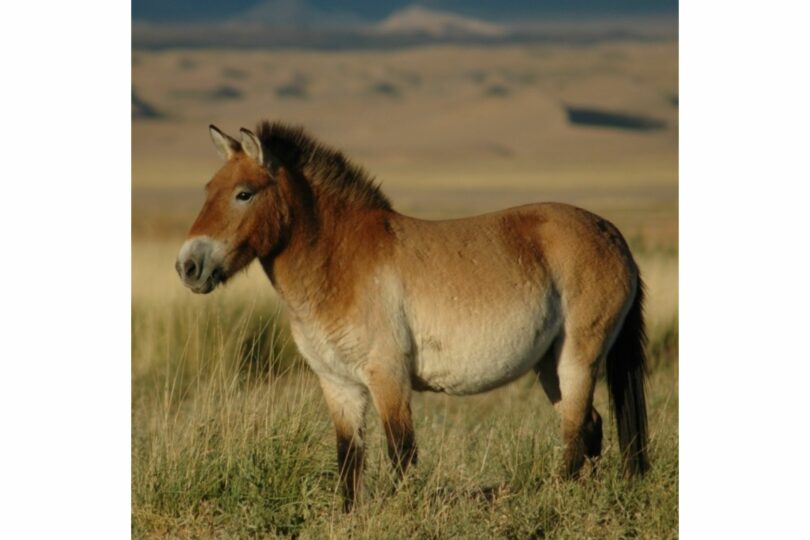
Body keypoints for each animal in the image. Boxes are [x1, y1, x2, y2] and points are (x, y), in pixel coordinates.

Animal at [176, 121, 649, 510]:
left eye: (244, 193)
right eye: (207, 189)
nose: (188, 267)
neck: (339, 262)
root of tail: (611, 234)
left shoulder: (388, 377)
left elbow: (401, 453)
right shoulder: (338, 384)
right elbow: (349, 460)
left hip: (578, 359)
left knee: (576, 434)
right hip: (550, 366)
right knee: (590, 426)